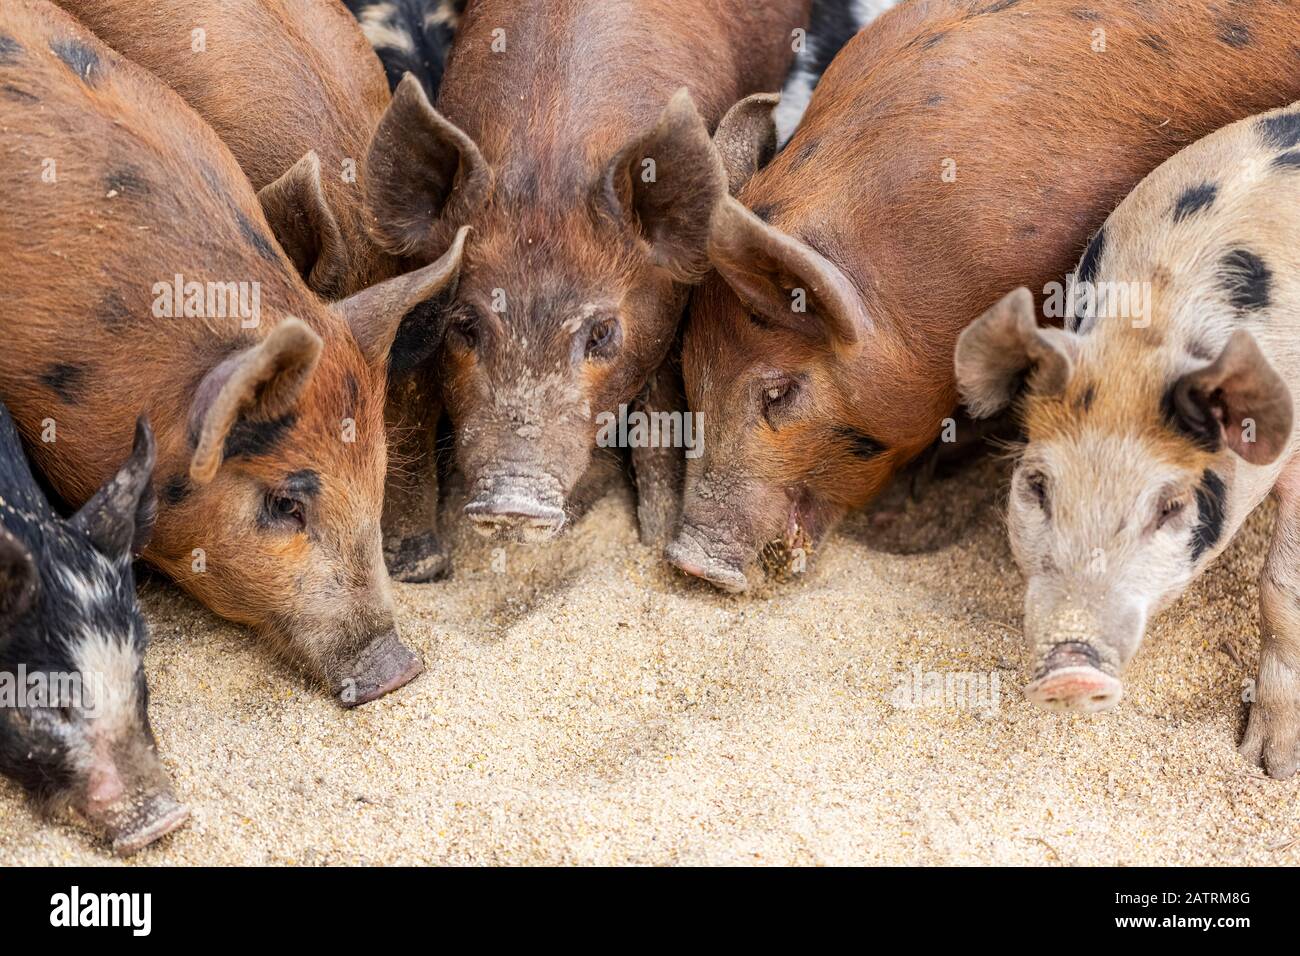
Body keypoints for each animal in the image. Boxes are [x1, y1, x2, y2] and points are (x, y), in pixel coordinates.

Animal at [368, 0, 814, 546]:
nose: (513, 501)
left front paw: (655, 540)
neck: (550, 154)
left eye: (601, 333)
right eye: (464, 325)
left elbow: (658, 418)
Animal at [955, 101, 1300, 777]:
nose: (1072, 669)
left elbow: (1281, 590)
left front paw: (1269, 766)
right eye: (1038, 486)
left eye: (1170, 507)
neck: (1146, 340)